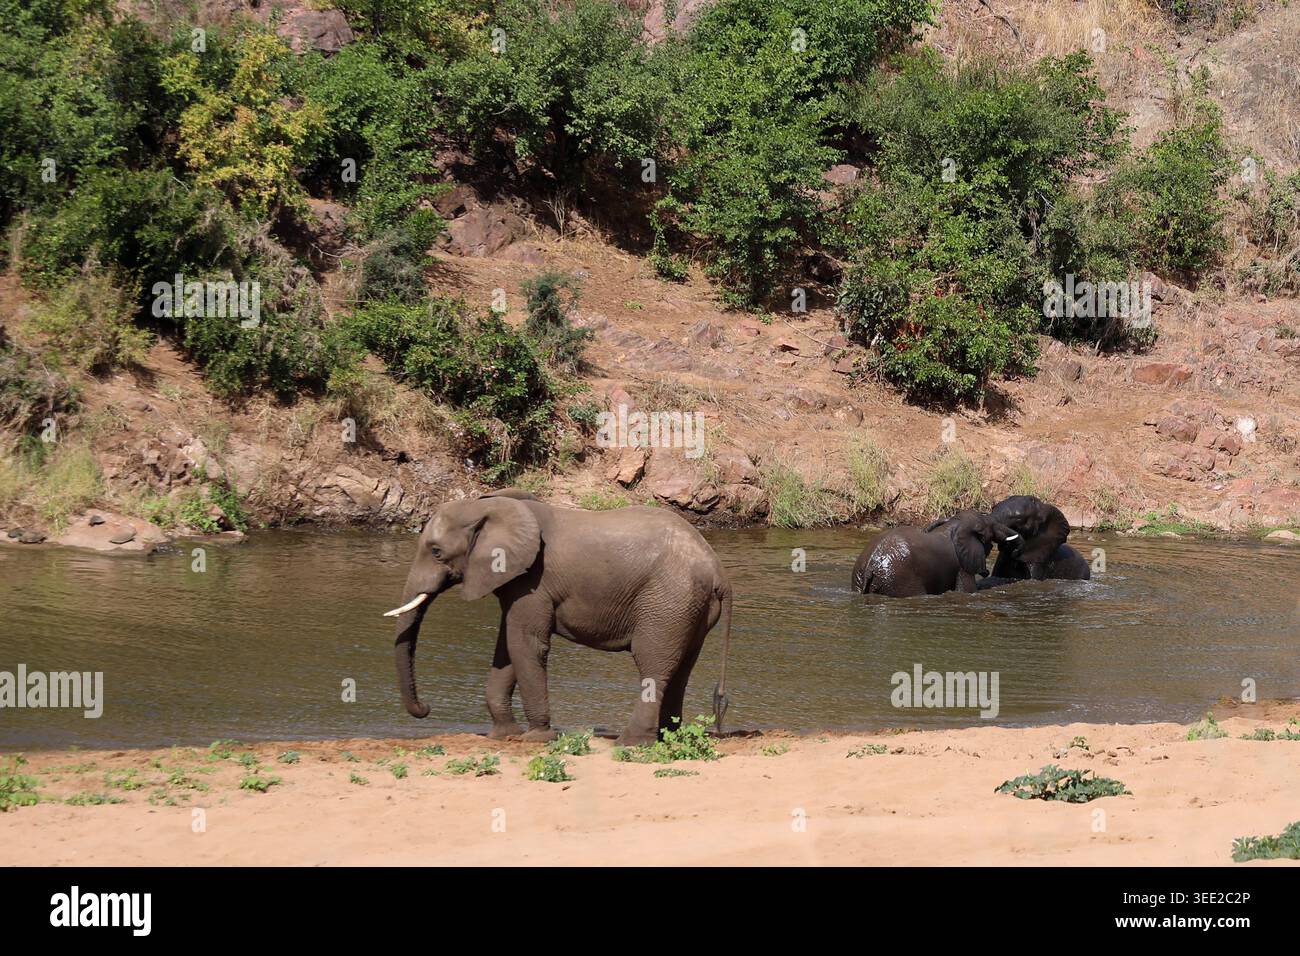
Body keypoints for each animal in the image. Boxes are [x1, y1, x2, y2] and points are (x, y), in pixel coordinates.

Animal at [383, 489, 733, 746]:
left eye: (436, 552)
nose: (425, 708)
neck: (492, 506)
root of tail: (719, 572)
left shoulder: (534, 581)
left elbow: (526, 643)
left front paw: (536, 738)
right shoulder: (515, 583)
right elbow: (507, 647)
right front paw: (502, 736)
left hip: (668, 600)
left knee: (654, 665)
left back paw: (630, 743)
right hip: (689, 608)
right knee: (681, 667)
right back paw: (668, 737)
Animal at [850, 510, 1021, 597]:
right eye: (990, 527)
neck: (954, 524)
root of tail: (870, 565)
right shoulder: (962, 566)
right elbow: (966, 591)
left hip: (859, 577)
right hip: (899, 578)